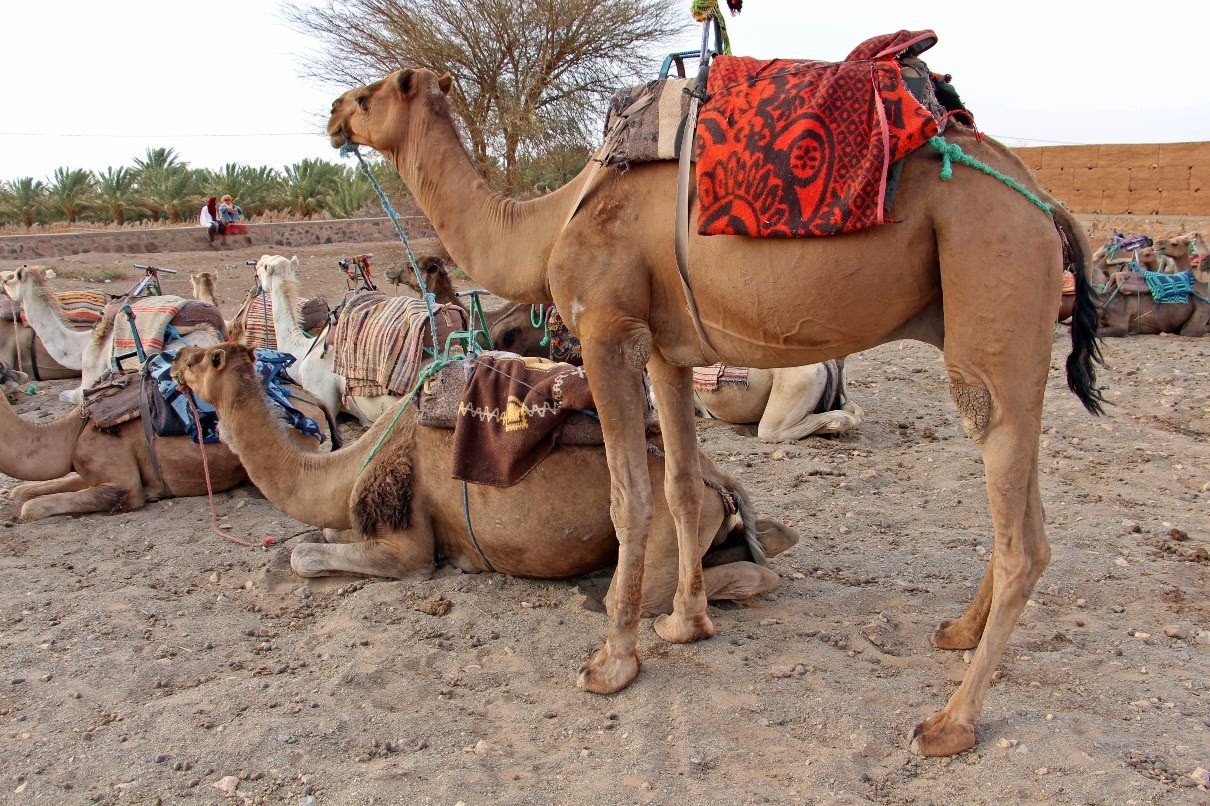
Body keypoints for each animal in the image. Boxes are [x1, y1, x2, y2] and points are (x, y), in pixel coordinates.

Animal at [172, 342, 798, 613]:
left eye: (203, 359)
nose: (173, 363)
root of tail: (719, 481)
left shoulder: (408, 544)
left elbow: (308, 555)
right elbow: (323, 535)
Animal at [328, 66, 1103, 756]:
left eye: (372, 93)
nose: (334, 113)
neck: (551, 223)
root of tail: (1046, 206)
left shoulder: (607, 331)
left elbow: (629, 498)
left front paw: (613, 661)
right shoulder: (669, 349)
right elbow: (678, 484)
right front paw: (686, 623)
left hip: (995, 283)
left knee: (1020, 531)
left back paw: (948, 725)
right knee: (1024, 516)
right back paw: (957, 633)